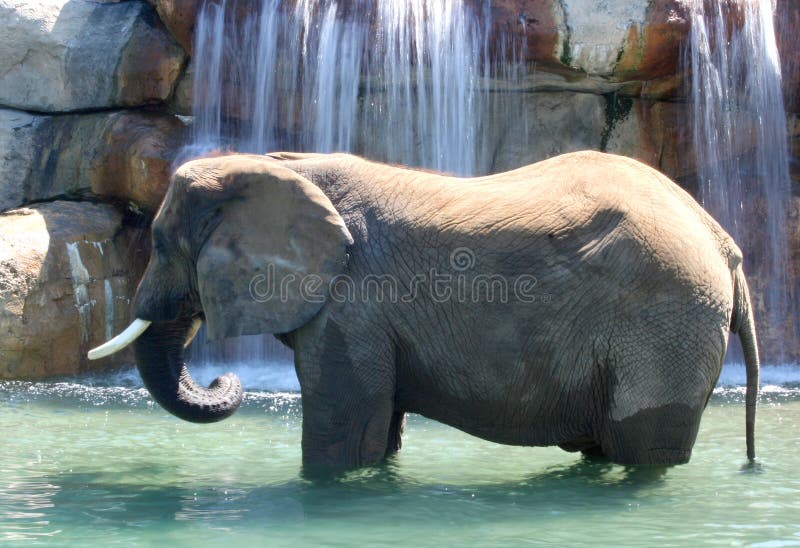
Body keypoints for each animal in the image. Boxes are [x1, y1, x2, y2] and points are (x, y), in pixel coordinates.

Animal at [89, 150, 760, 470]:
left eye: (161, 245)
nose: (222, 378)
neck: (279, 164)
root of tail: (724, 242)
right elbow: (378, 429)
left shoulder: (349, 305)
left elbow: (341, 432)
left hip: (666, 321)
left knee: (641, 448)